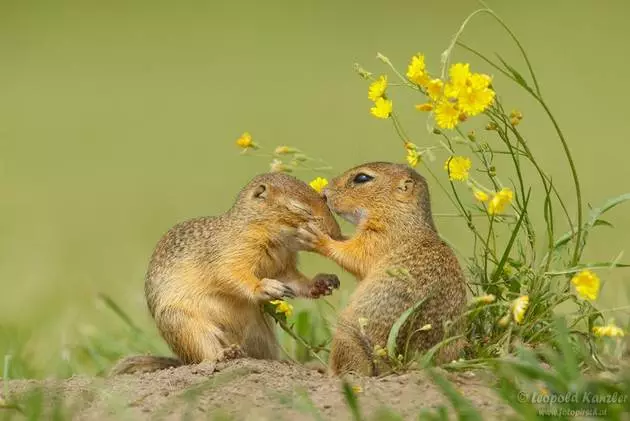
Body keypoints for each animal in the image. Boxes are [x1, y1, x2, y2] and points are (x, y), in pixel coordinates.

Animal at [110, 172, 344, 376]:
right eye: (299, 208)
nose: (337, 235)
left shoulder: (283, 267)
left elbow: (295, 281)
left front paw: (323, 282)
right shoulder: (230, 255)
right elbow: (232, 274)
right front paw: (265, 287)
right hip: (184, 325)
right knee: (203, 356)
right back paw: (227, 354)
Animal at [298, 161, 470, 374]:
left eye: (362, 178)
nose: (323, 193)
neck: (400, 214)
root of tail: (399, 364)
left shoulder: (380, 236)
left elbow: (354, 254)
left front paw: (317, 238)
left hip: (345, 335)